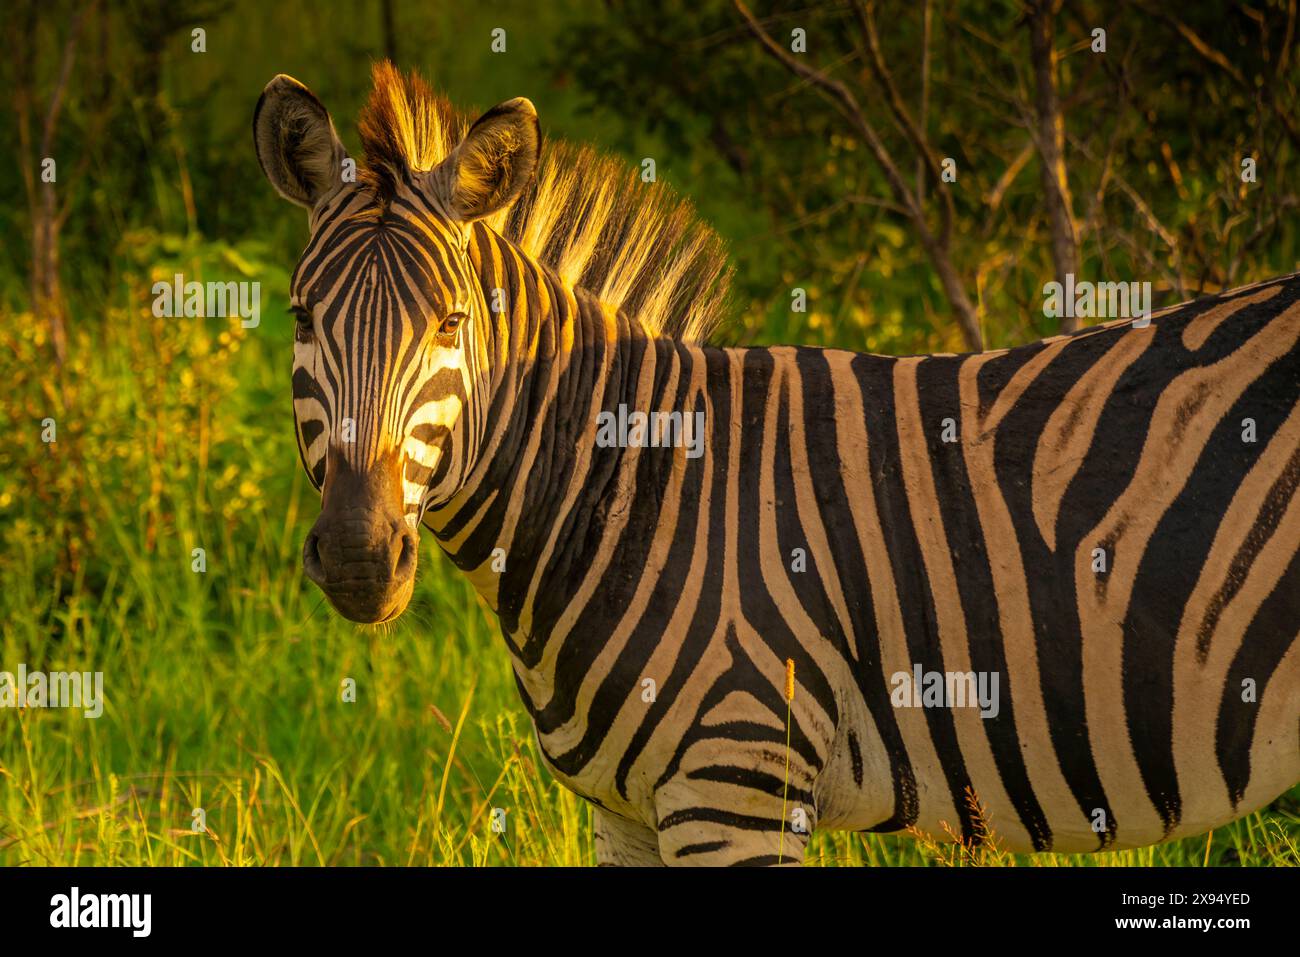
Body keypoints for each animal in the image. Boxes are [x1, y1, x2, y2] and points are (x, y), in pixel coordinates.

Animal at [254, 63, 1300, 865]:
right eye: (302, 318)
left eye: (451, 323)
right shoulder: (628, 815)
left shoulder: (736, 789)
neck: (636, 493)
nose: (358, 557)